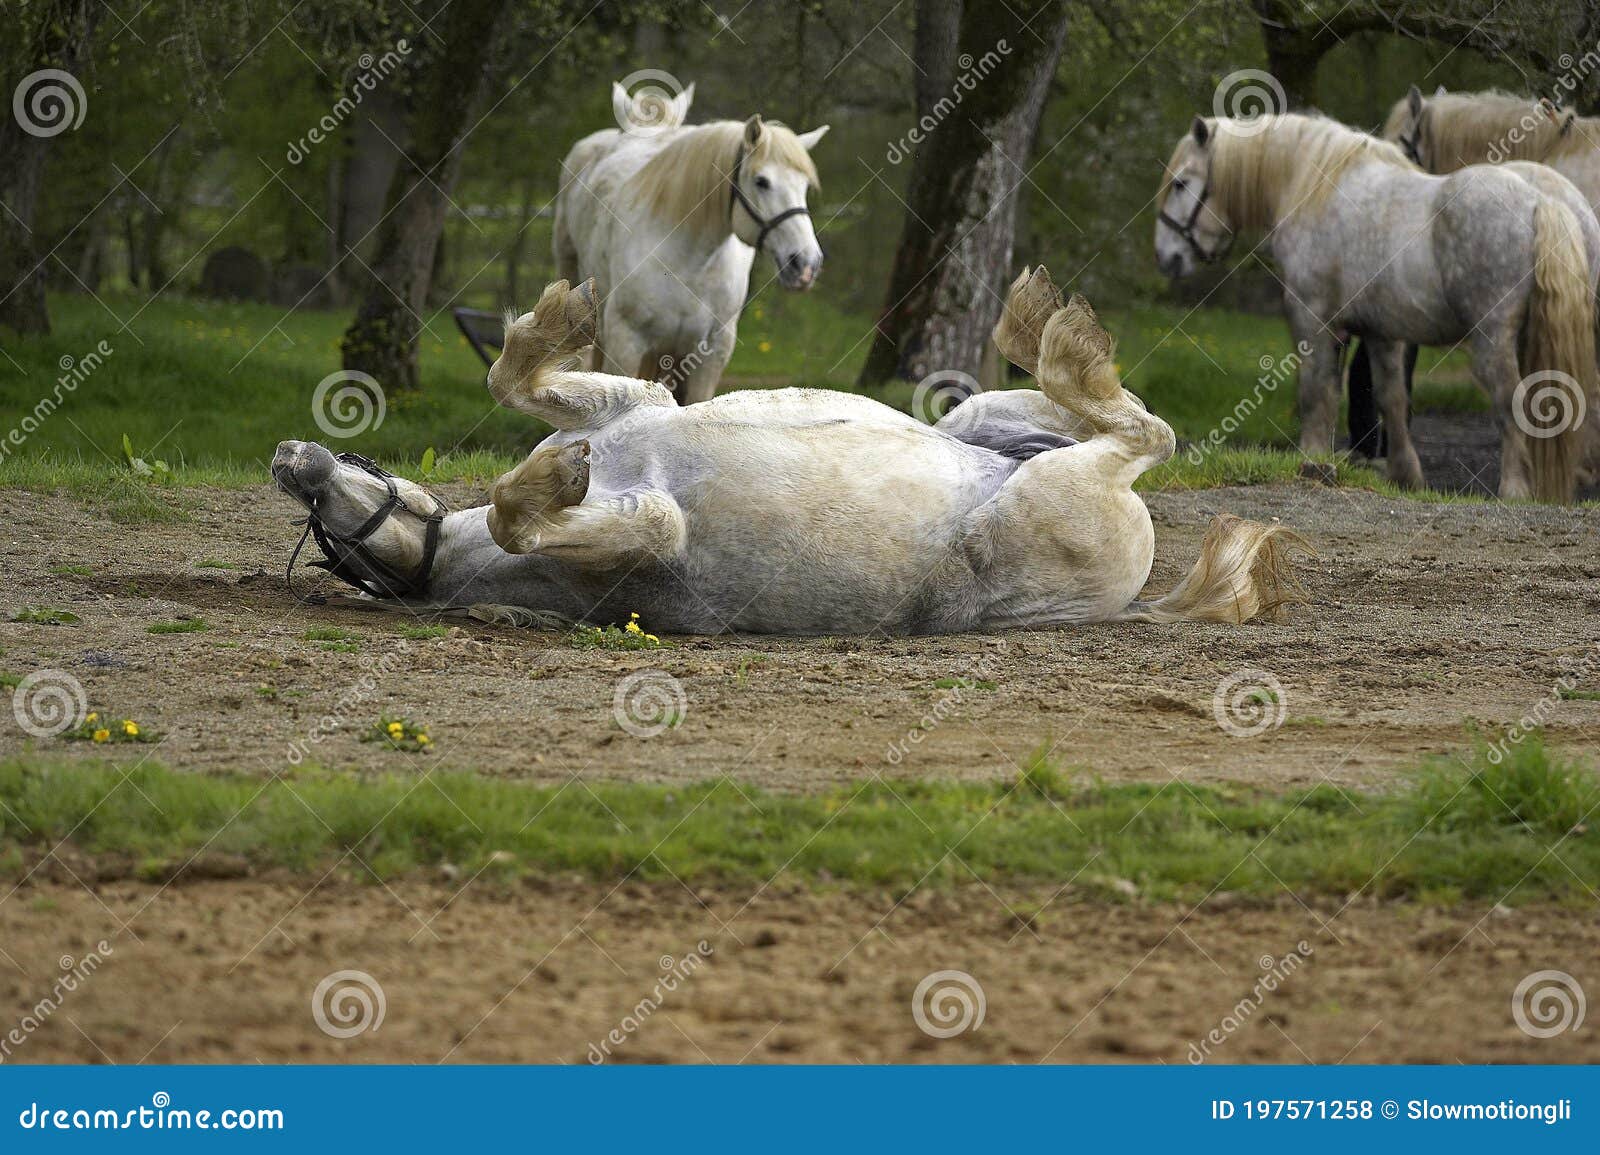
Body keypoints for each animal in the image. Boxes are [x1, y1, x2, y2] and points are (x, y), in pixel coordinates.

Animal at [273, 270, 1304, 635]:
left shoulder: (633, 406)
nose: (291, 457)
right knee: (1140, 434)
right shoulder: (654, 530)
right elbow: (527, 511)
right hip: (1038, 483)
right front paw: (550, 478)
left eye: (329, 516)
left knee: (1141, 427)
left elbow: (514, 378)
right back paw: (1052, 334)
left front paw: (561, 323)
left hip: (990, 428)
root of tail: (1134, 585)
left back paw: (1042, 323)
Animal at [553, 86, 828, 404]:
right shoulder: (626, 344)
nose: (806, 264)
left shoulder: (710, 356)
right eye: (761, 181)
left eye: (805, 186)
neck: (689, 262)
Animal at [1155, 113, 1598, 501]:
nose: (1166, 257)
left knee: (1511, 401)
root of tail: (1541, 201)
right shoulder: (1381, 332)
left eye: (1180, 183)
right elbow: (1391, 398)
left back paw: (1515, 488)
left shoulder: (1312, 320)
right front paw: (1406, 475)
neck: (1317, 189)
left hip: (1494, 337)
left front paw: (1312, 459)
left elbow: (1317, 391)